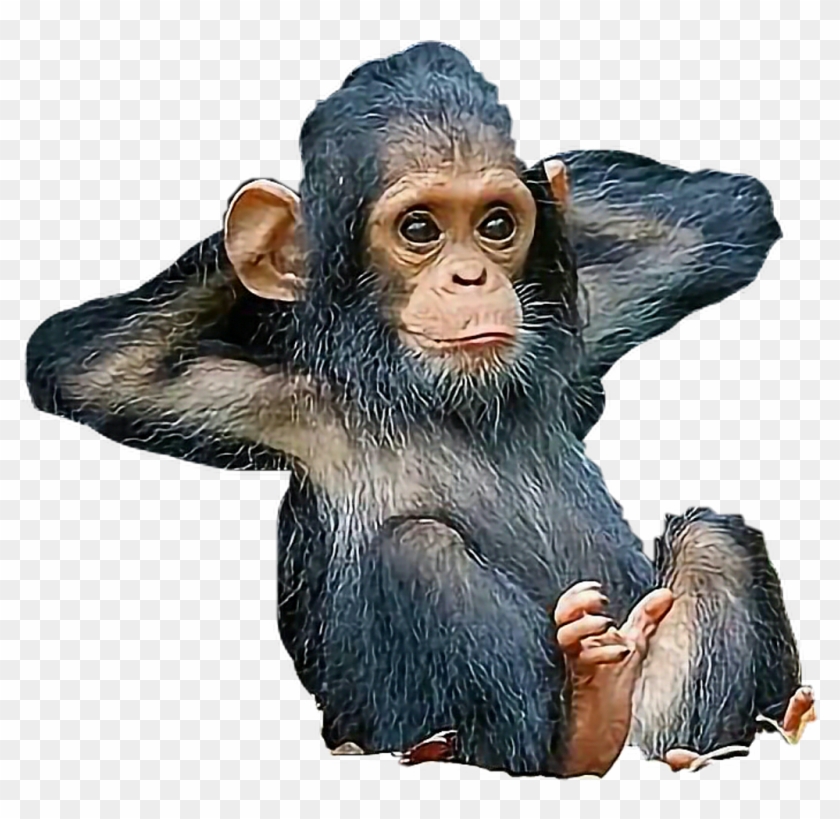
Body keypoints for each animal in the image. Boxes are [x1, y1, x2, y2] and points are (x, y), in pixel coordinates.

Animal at [25, 42, 814, 776]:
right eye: (420, 230)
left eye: (496, 224)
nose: (471, 277)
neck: (432, 393)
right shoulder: (261, 398)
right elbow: (84, 364)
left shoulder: (587, 316)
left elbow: (720, 220)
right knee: (418, 550)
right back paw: (587, 720)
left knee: (713, 540)